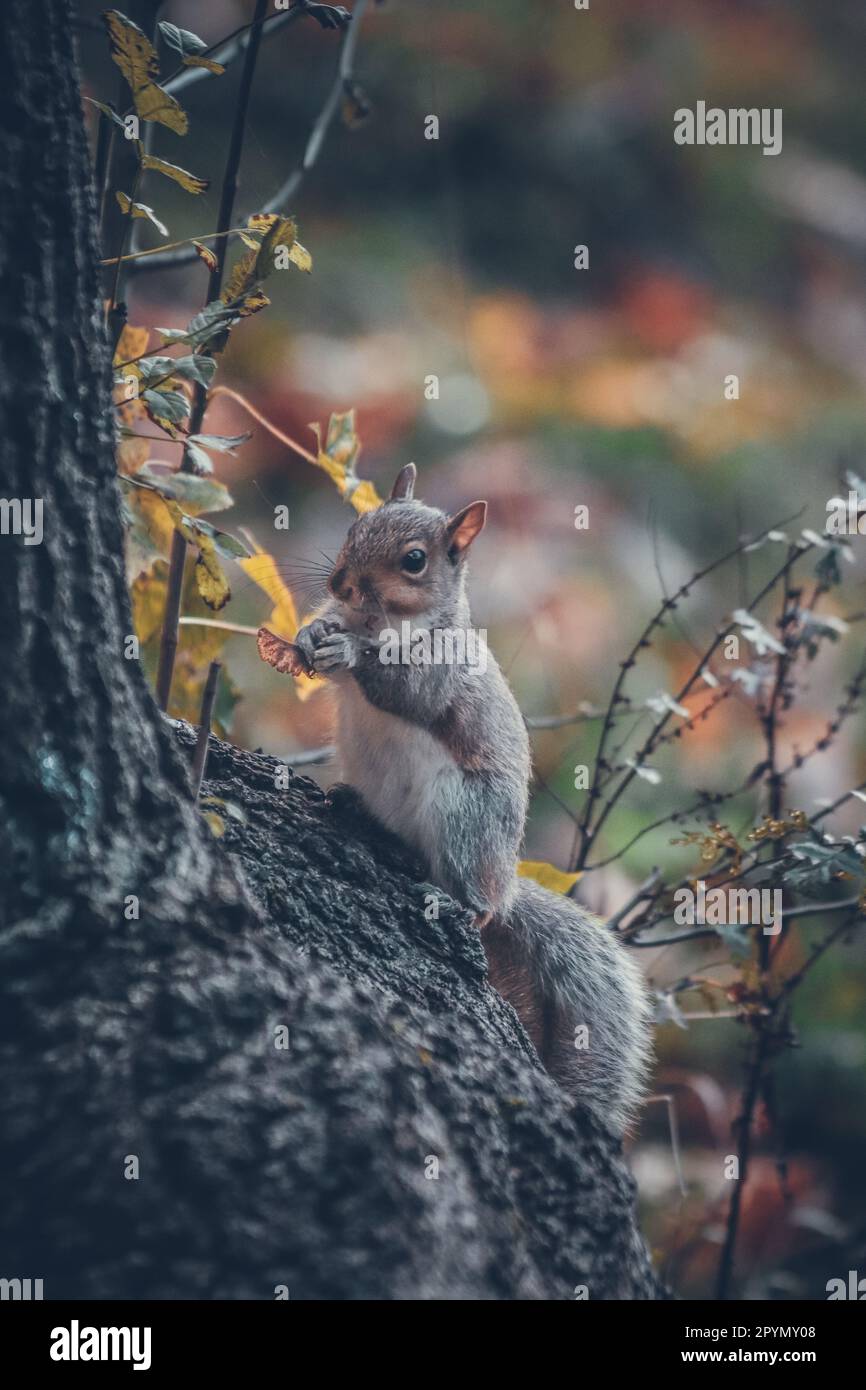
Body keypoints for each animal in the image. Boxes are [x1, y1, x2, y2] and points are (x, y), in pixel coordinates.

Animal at [257, 463, 653, 1135]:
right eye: (355, 525)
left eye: (414, 561)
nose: (340, 581)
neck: (383, 620)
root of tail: (507, 879)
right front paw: (313, 631)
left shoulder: (440, 671)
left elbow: (407, 690)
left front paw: (353, 652)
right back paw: (356, 808)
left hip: (466, 815)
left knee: (480, 904)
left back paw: (455, 902)